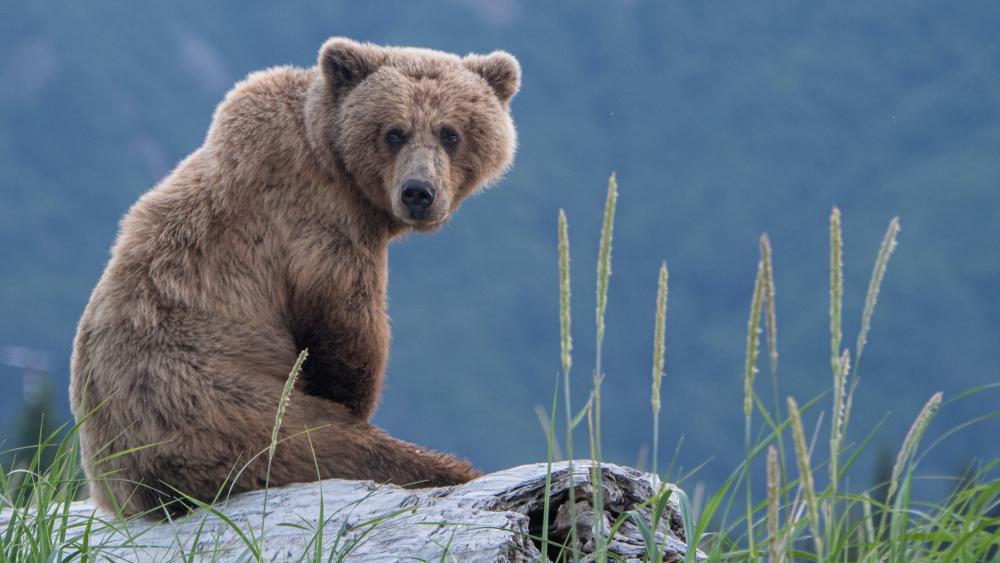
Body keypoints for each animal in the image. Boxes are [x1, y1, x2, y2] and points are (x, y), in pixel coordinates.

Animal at [69, 37, 520, 516]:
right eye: (394, 132)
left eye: (450, 133)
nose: (418, 192)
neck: (331, 156)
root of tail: (120, 492)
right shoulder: (317, 220)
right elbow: (345, 329)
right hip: (215, 406)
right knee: (331, 446)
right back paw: (452, 468)